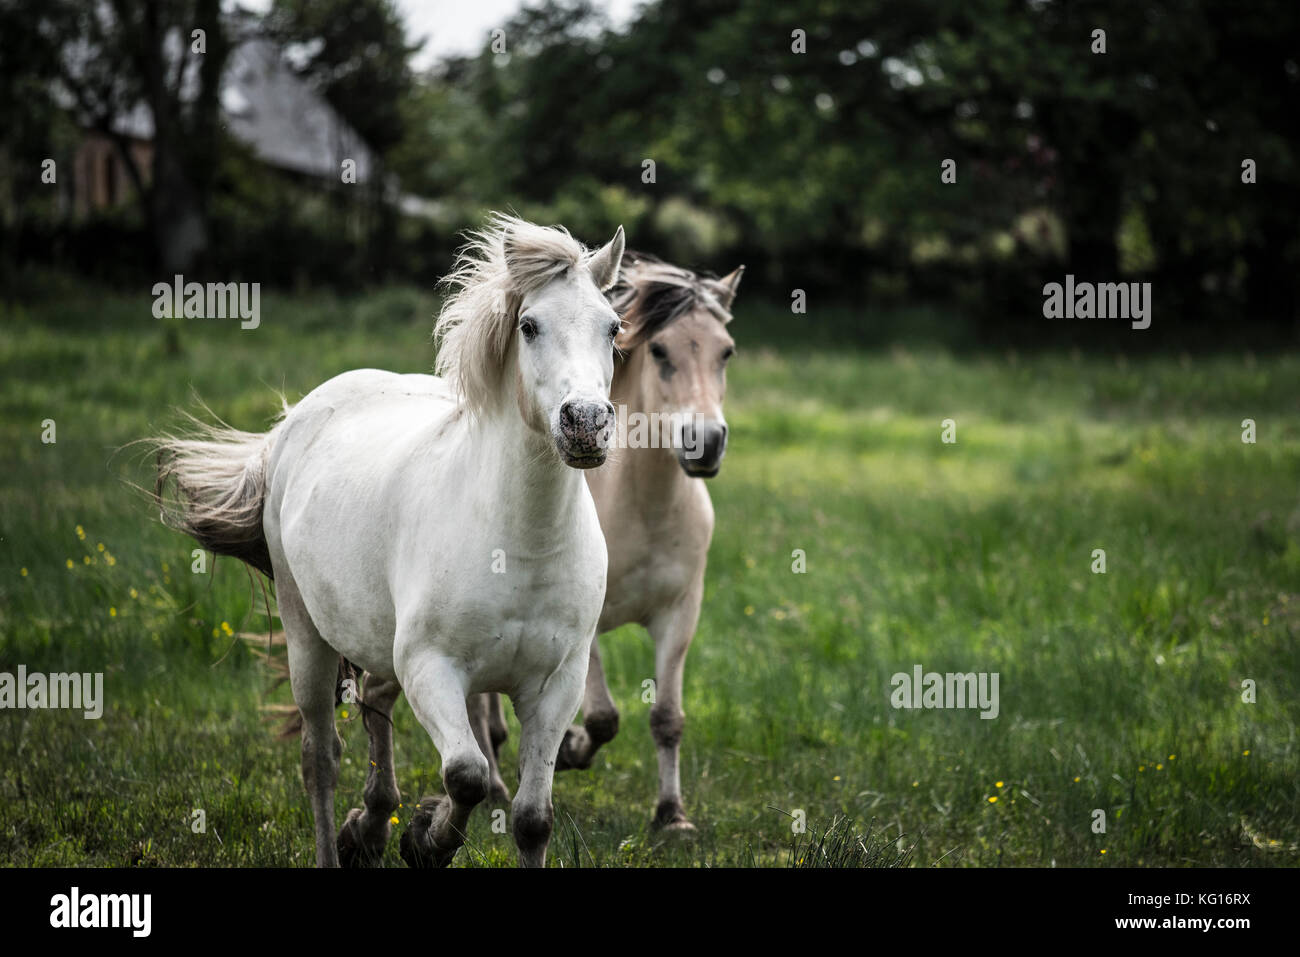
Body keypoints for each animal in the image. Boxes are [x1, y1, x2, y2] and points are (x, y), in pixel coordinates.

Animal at [152, 213, 627, 867]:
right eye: (529, 326)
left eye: (613, 328)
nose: (586, 423)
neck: (517, 545)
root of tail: (293, 421)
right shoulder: (432, 668)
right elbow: (468, 776)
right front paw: (425, 840)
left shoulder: (557, 684)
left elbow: (532, 818)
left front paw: (408, 831)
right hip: (307, 636)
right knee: (319, 759)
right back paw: (343, 841)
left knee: (375, 706)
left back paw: (369, 828)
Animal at [474, 252, 743, 830]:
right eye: (660, 351)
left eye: (726, 351)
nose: (705, 442)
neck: (645, 509)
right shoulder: (587, 625)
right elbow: (602, 718)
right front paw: (571, 749)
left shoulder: (679, 615)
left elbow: (667, 717)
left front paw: (672, 816)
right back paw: (497, 783)